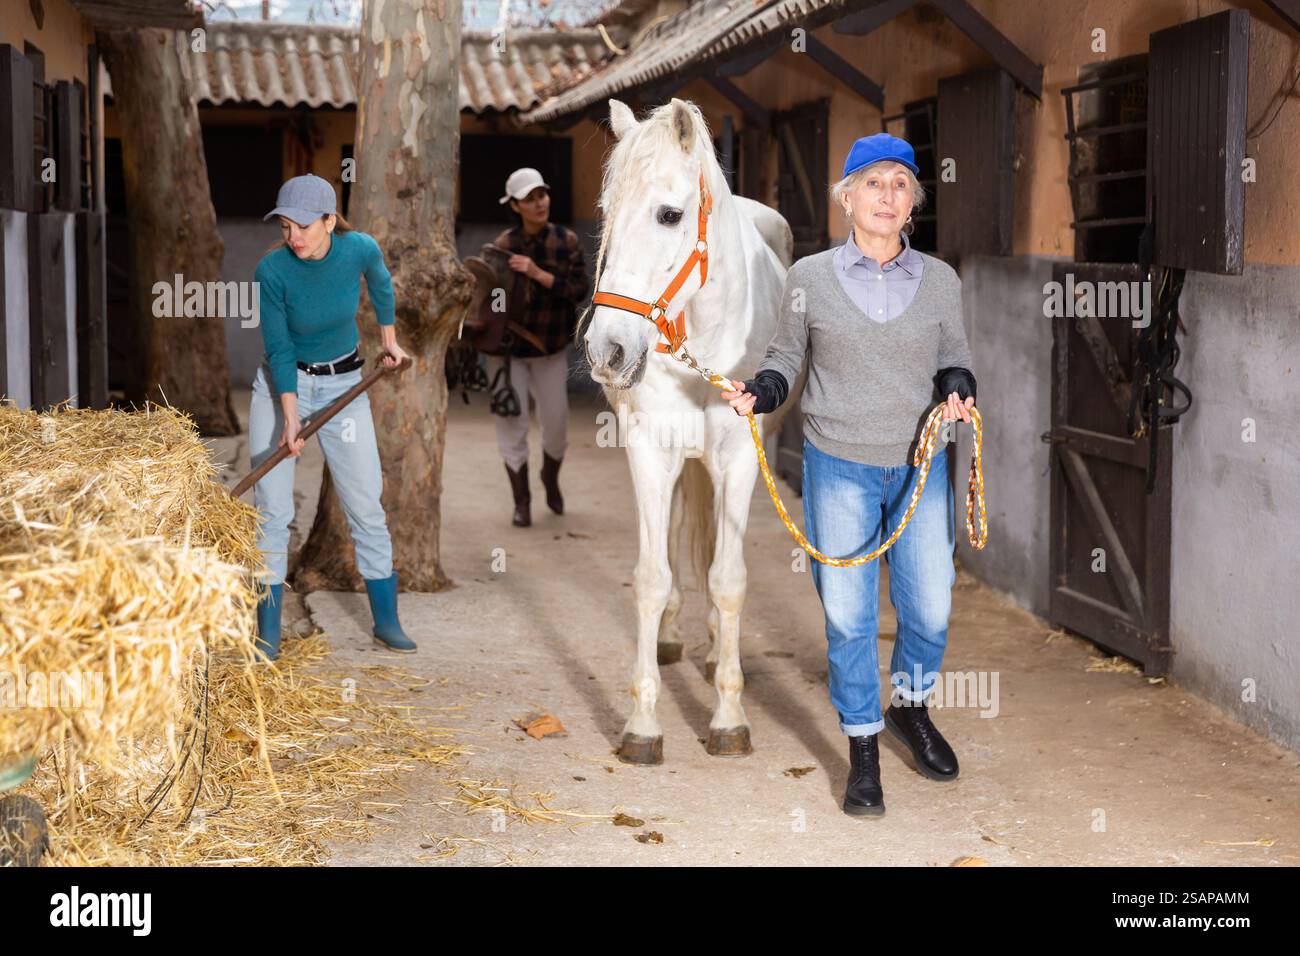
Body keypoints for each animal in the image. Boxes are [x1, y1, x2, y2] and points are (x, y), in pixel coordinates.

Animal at [581, 97, 795, 764]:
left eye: (669, 214)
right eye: (607, 214)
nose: (607, 351)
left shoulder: (741, 459)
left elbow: (728, 581)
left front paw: (729, 716)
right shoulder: (649, 452)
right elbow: (652, 578)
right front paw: (643, 724)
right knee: (677, 538)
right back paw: (675, 636)